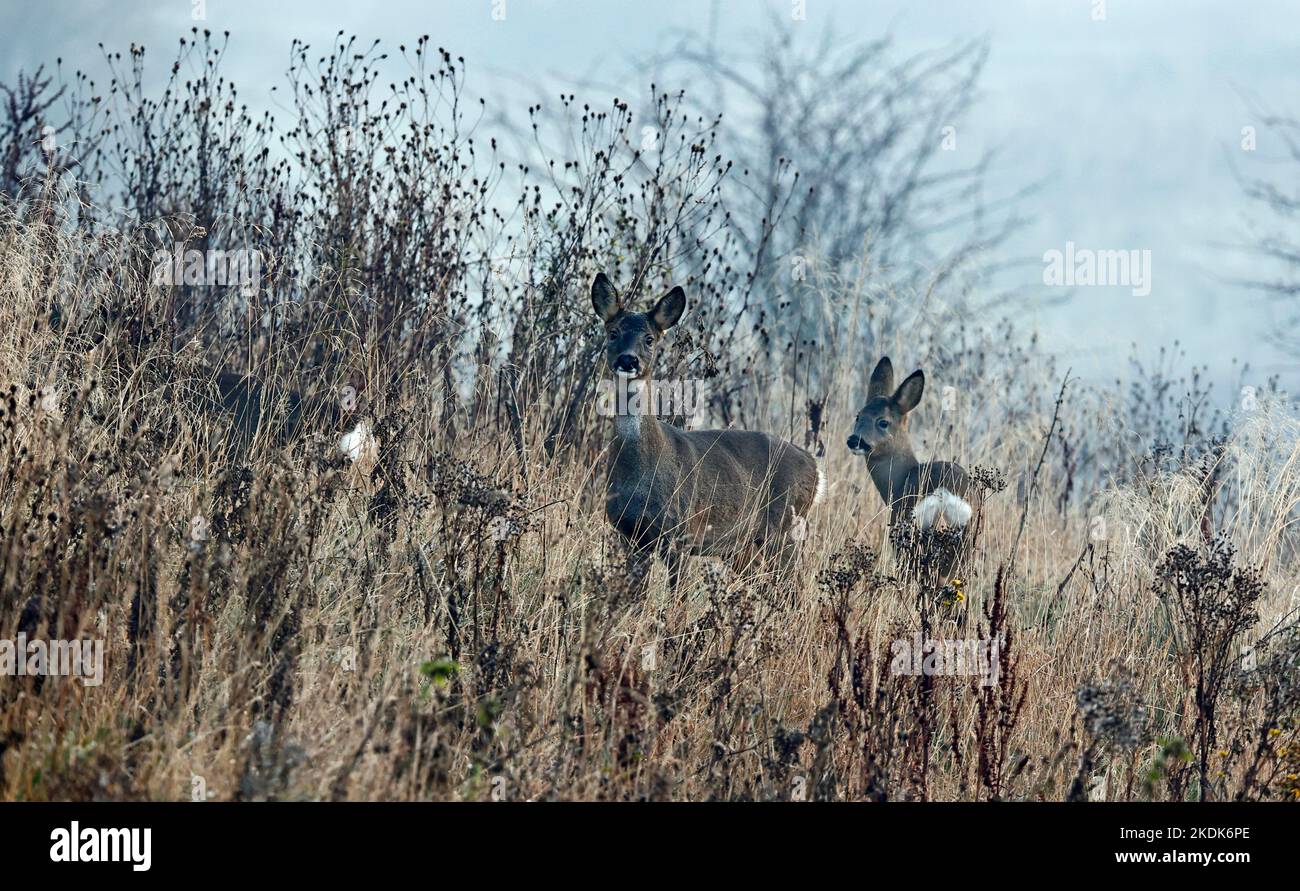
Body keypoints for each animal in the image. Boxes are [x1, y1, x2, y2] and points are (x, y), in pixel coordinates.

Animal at [591, 272, 824, 592]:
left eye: (649, 338)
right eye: (613, 332)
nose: (628, 360)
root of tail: (815, 467)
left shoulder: (680, 532)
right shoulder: (630, 535)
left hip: (784, 527)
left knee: (795, 589)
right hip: (744, 548)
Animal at [846, 356, 978, 587]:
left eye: (883, 421)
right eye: (858, 416)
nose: (854, 440)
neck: (899, 480)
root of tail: (944, 496)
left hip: (912, 540)